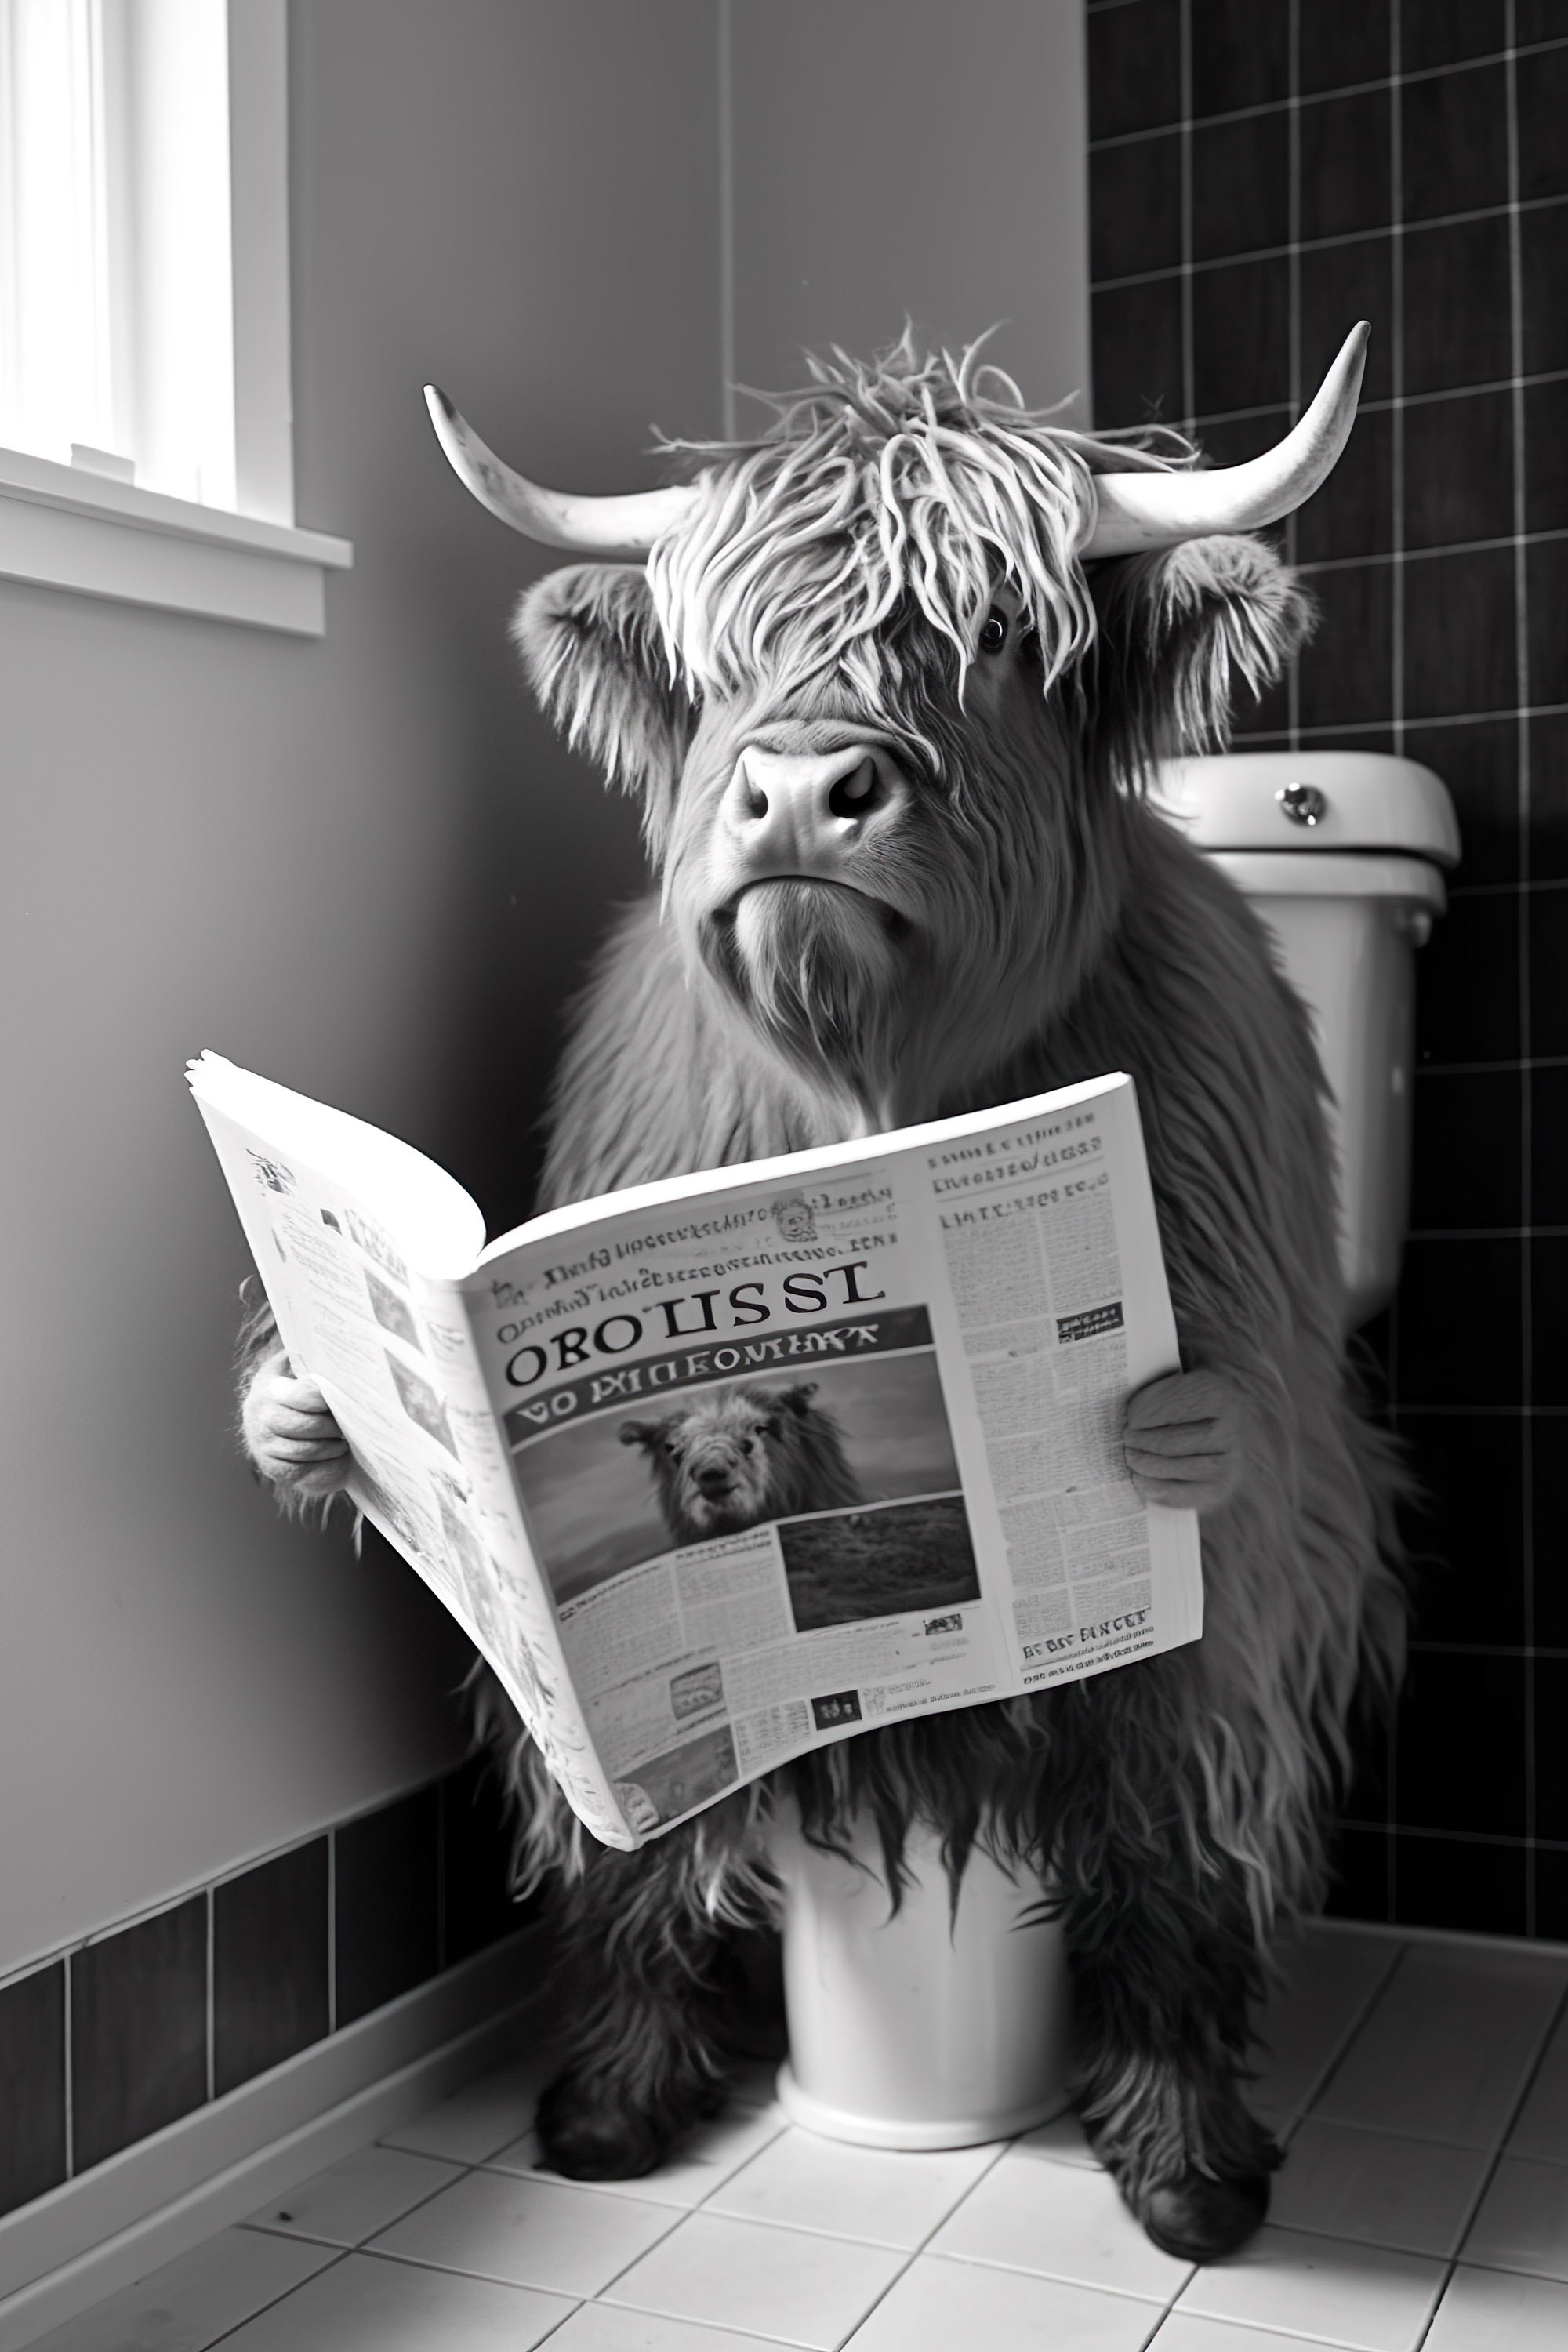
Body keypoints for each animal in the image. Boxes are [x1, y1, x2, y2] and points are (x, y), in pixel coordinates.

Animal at [240, 325, 1404, 2264]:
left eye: (996, 629)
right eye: (720, 657)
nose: (797, 787)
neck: (872, 1094)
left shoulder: (1262, 1467)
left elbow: (1194, 1725)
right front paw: (299, 1405)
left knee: (1173, 1798)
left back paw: (1182, 2157)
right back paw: (626, 2084)